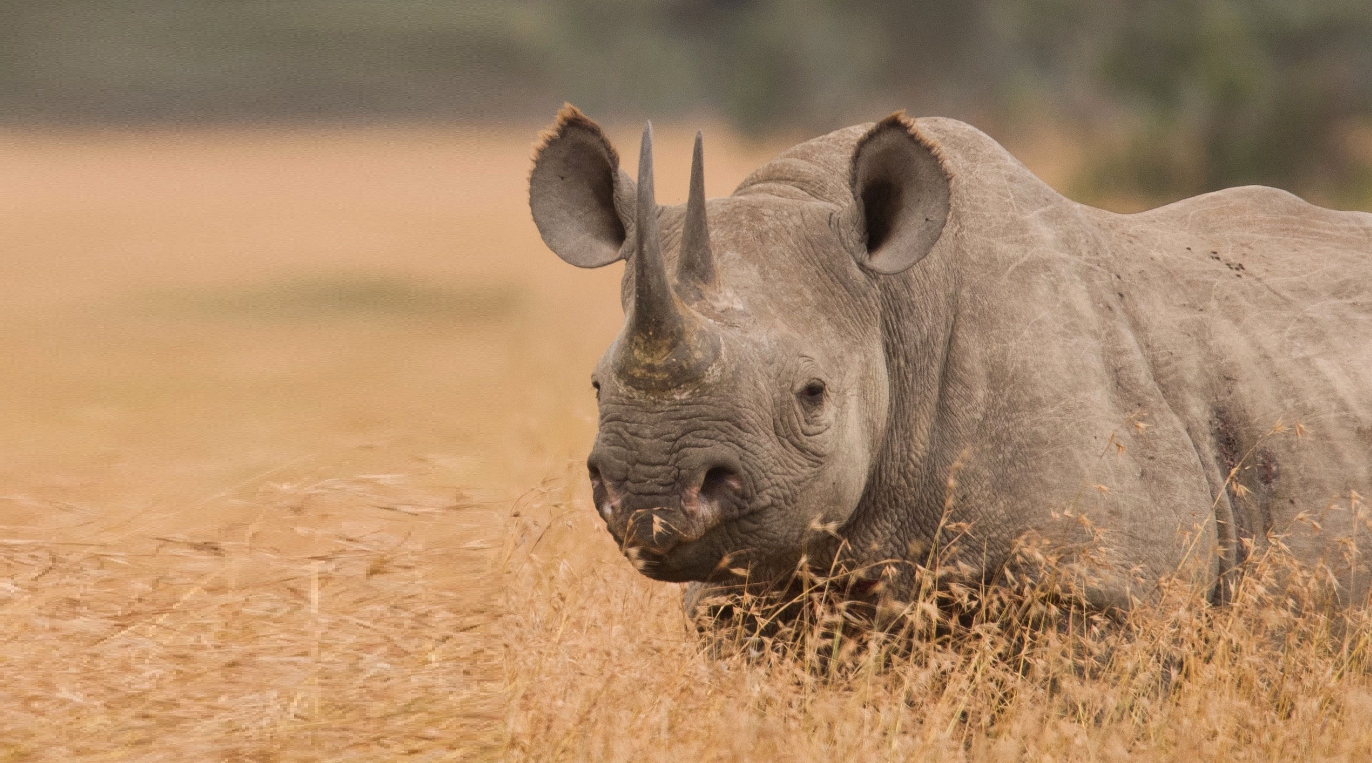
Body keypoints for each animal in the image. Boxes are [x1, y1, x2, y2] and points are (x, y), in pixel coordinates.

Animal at [528, 104, 1372, 608]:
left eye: (811, 394)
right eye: (597, 384)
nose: (652, 491)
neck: (897, 310)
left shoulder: (1111, 592)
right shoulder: (746, 593)